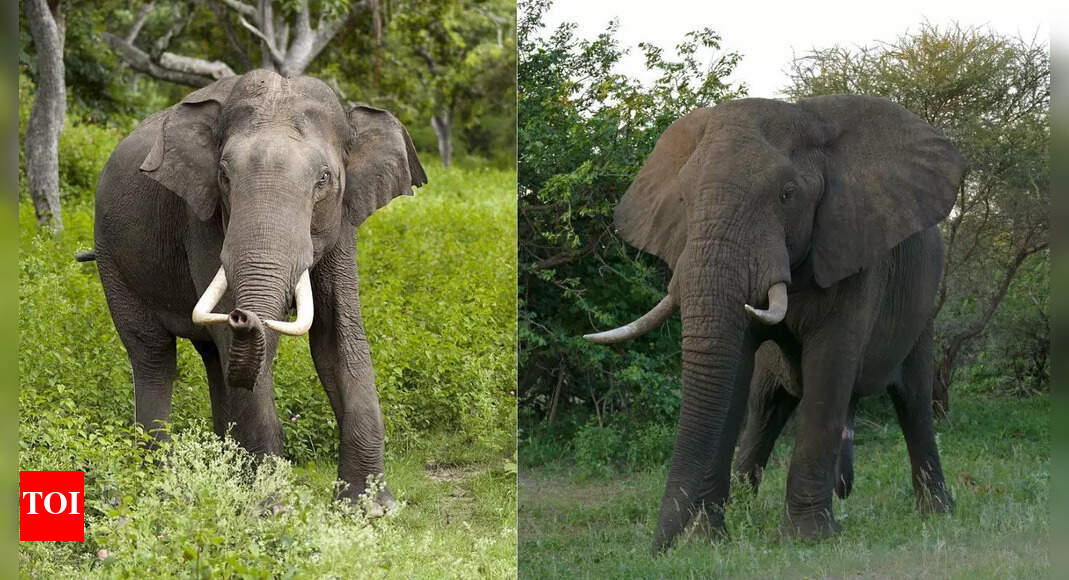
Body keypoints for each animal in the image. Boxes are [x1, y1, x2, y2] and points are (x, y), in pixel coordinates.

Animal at [87, 69, 426, 515]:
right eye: (225, 176)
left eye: (324, 179)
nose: (243, 315)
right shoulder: (202, 217)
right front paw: (272, 509)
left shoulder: (343, 221)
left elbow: (338, 335)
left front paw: (369, 509)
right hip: (112, 257)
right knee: (154, 354)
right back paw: (158, 482)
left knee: (214, 358)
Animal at [582, 95, 963, 550]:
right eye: (684, 200)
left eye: (787, 195)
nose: (657, 551)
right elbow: (734, 377)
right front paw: (709, 540)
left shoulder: (853, 250)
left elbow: (829, 369)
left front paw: (807, 539)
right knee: (765, 407)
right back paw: (746, 507)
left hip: (921, 310)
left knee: (914, 401)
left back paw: (937, 514)